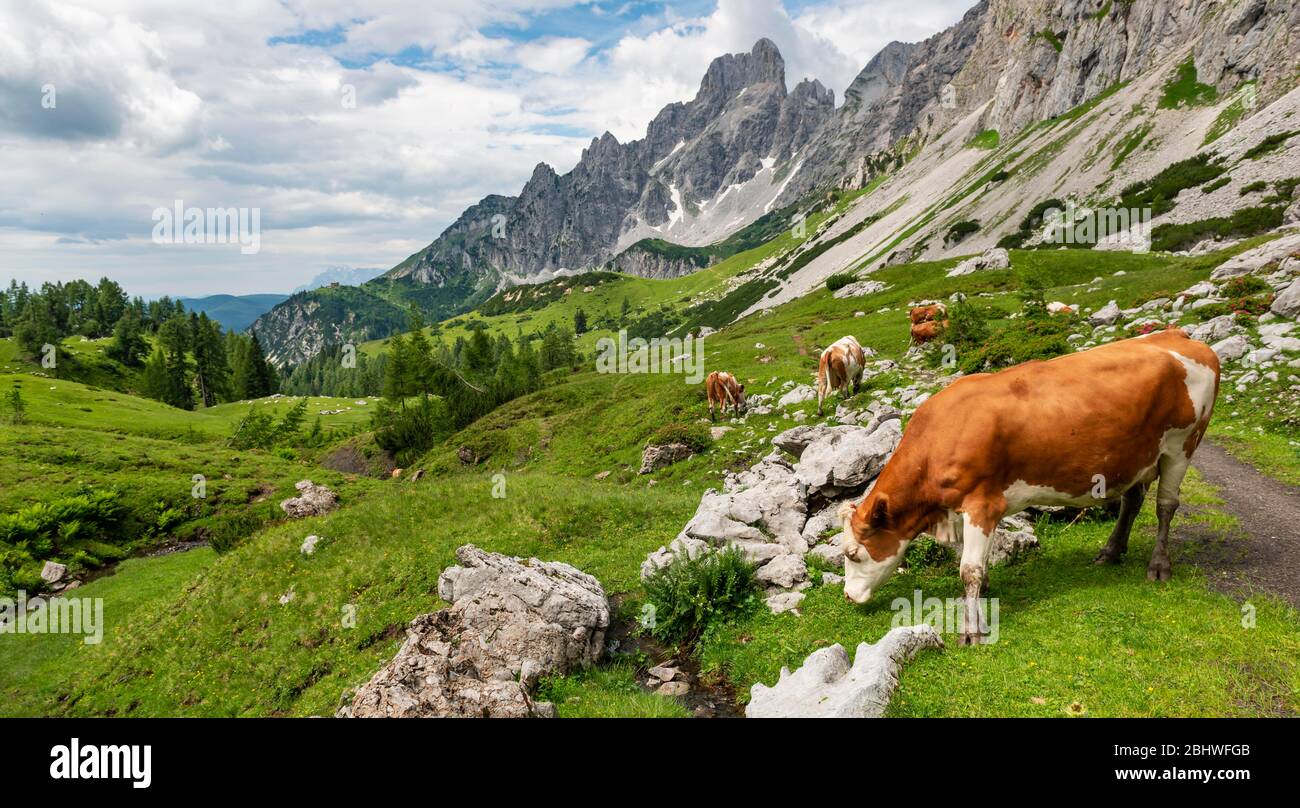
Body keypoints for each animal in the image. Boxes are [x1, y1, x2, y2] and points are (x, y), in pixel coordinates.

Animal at [837, 328, 1220, 645]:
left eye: (854, 553)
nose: (847, 596)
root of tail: (1178, 335)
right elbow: (974, 561)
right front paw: (982, 594)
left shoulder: (982, 503)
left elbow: (969, 569)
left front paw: (972, 631)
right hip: (1137, 457)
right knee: (1133, 500)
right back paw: (1111, 552)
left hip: (1181, 445)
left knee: (1165, 507)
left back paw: (1159, 565)